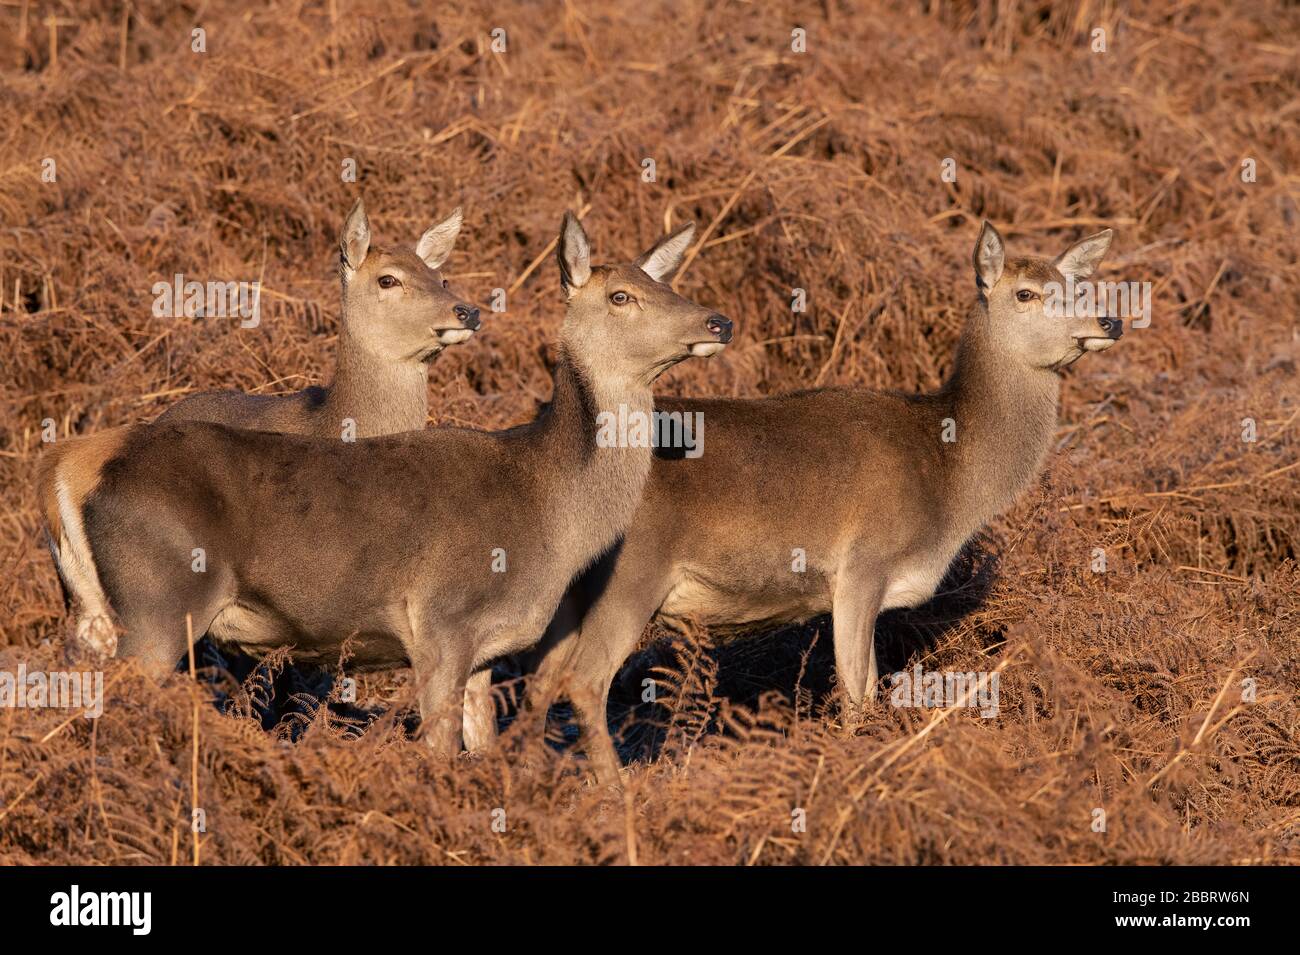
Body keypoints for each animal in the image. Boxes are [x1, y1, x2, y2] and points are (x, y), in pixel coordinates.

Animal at [521, 221, 1123, 783]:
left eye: (1079, 285)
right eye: (1026, 293)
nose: (1110, 321)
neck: (949, 476)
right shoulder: (863, 565)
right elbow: (859, 692)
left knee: (540, 680)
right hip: (632, 573)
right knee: (584, 680)